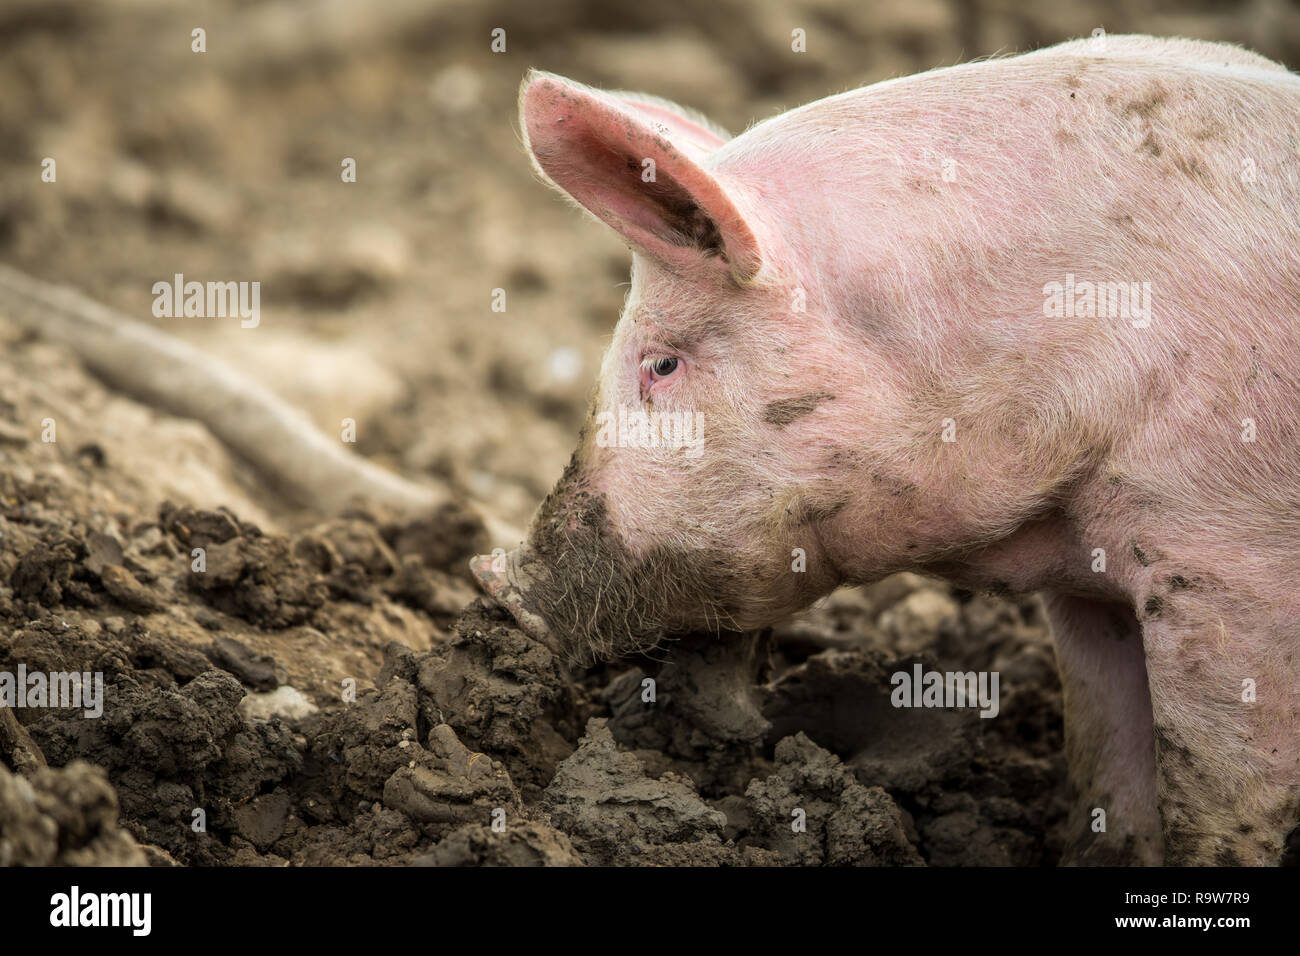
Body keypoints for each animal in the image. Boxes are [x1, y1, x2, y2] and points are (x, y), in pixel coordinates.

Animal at [472, 35, 1300, 866]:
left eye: (663, 364)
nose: (497, 582)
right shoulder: (1091, 586)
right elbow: (1107, 751)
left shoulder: (1225, 556)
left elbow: (1213, 790)